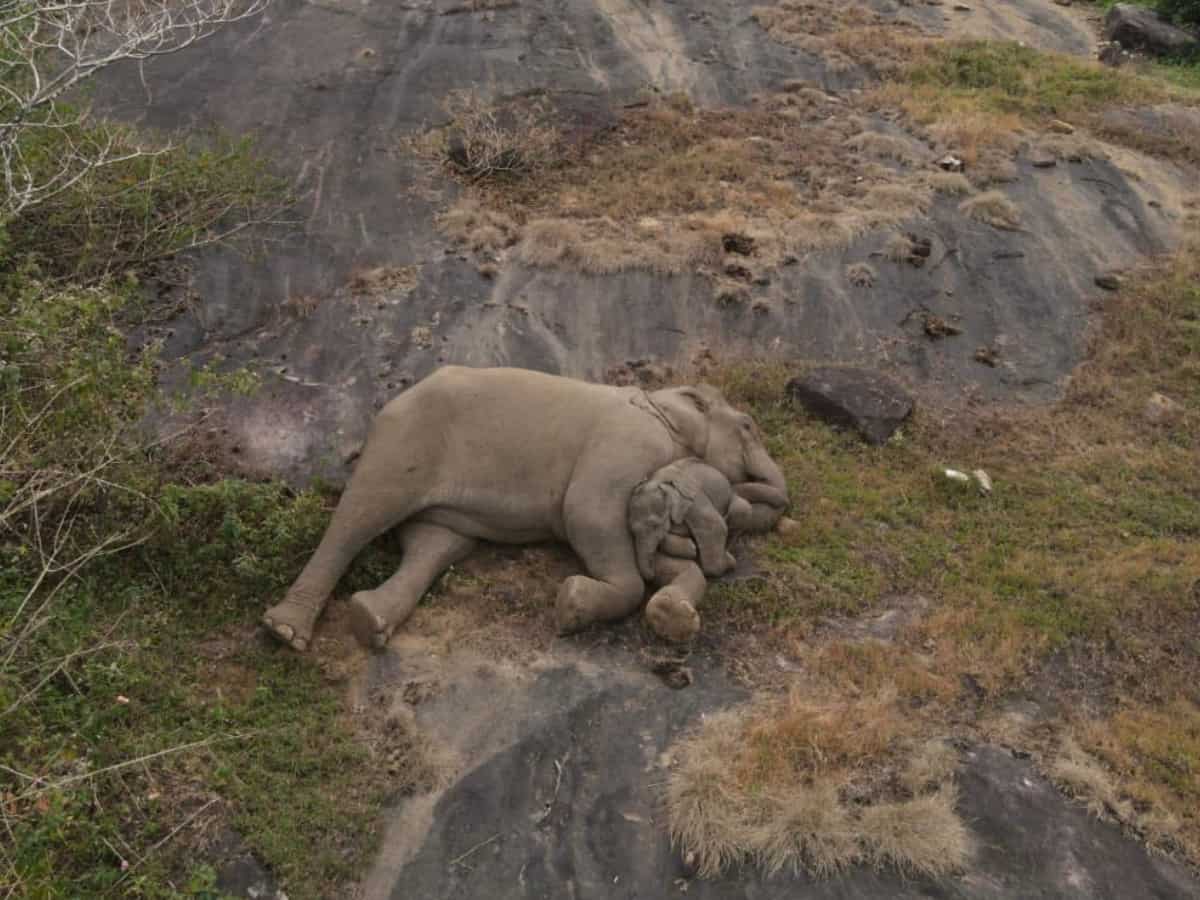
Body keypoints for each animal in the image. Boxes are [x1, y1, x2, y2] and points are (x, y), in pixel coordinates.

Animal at [260, 366, 788, 652]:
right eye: (748, 427)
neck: (661, 400)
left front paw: (671, 612)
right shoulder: (626, 441)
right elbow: (589, 513)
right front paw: (572, 605)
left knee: (435, 545)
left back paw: (368, 621)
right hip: (404, 442)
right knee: (360, 516)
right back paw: (286, 632)